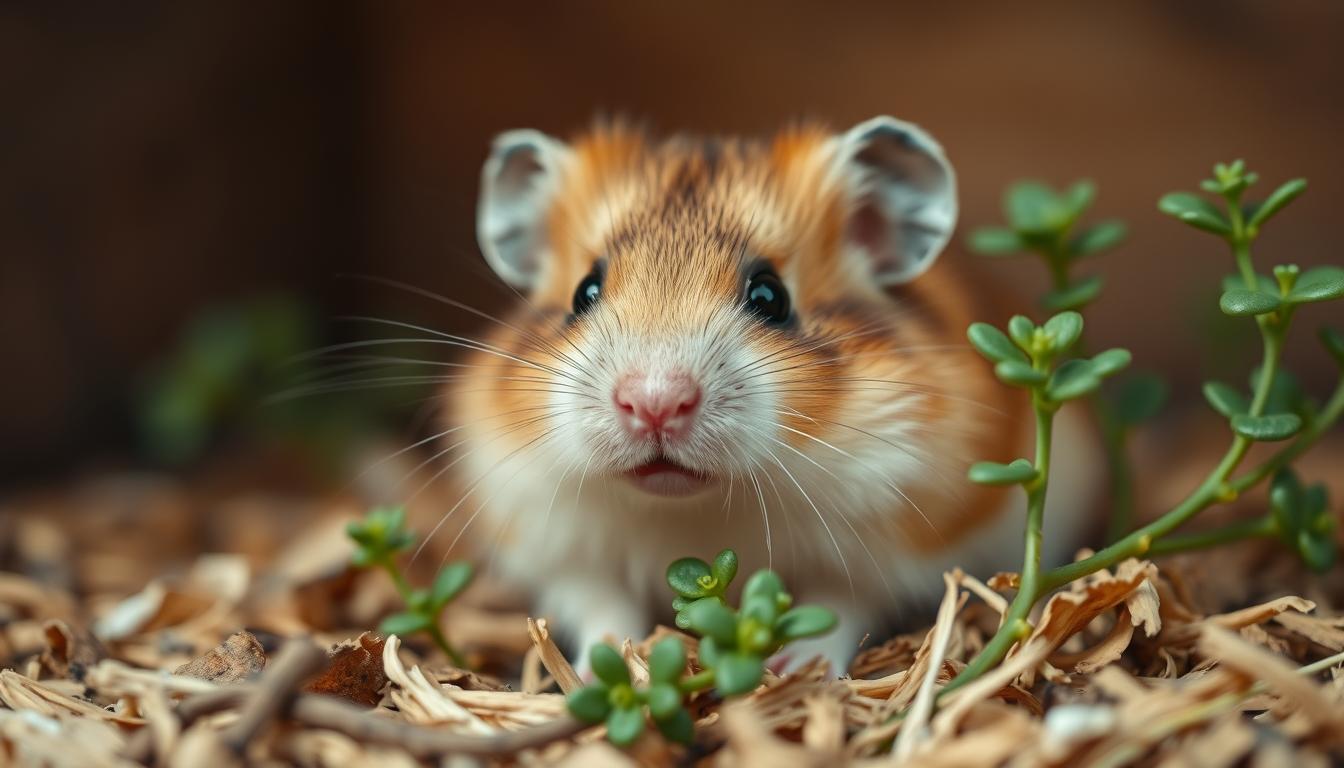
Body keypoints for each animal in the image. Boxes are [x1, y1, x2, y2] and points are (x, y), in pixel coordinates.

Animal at [444, 116, 1102, 672]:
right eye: (584, 291)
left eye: (771, 296)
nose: (654, 404)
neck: (696, 509)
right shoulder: (554, 543)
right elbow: (603, 605)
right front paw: (603, 667)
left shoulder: (895, 539)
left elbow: (837, 604)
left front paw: (793, 670)